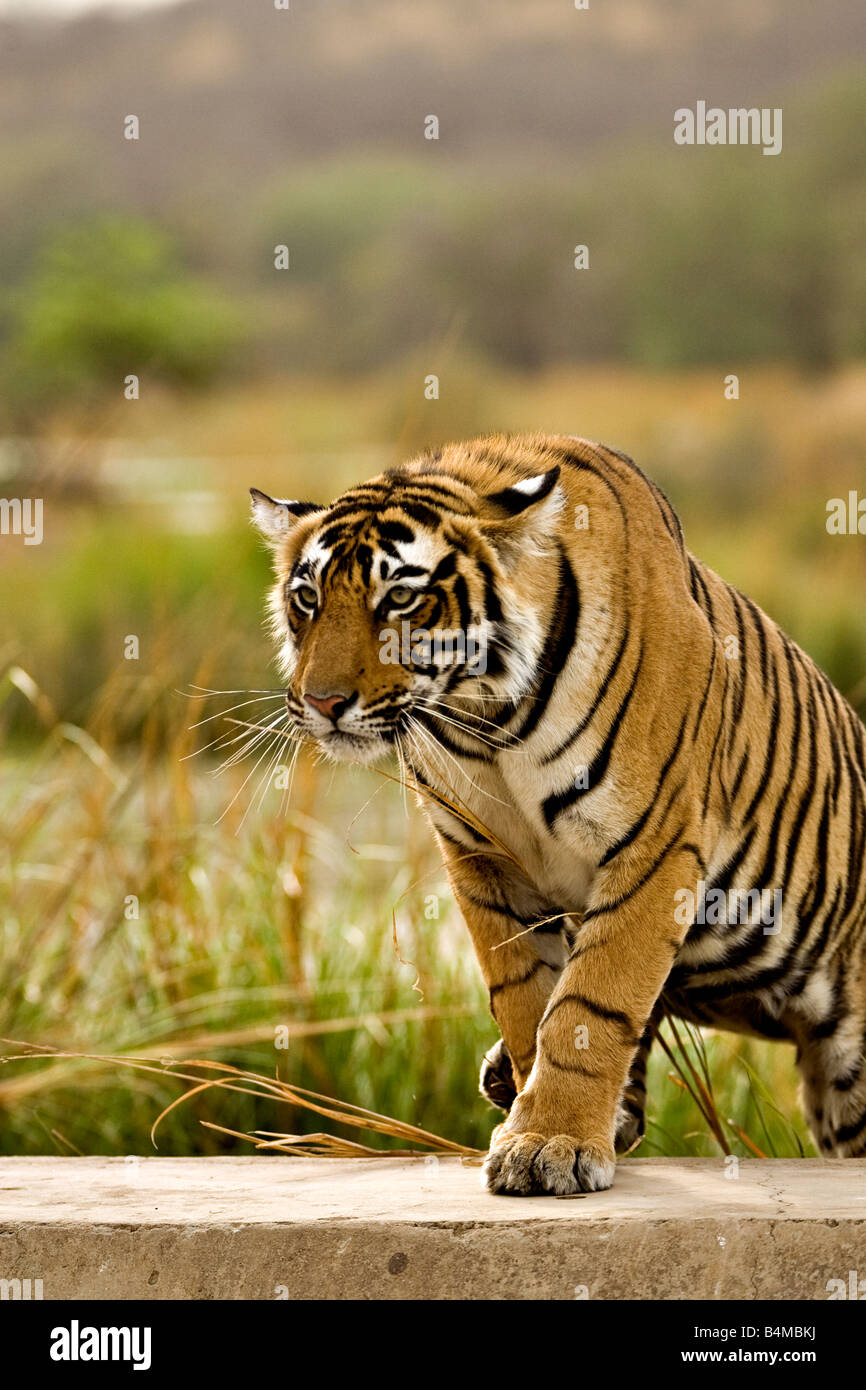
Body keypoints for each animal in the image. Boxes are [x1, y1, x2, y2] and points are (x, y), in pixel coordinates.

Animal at [250, 432, 866, 1196]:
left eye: (400, 598)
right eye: (307, 598)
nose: (323, 702)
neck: (486, 717)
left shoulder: (654, 847)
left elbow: (593, 1003)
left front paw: (553, 1142)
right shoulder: (482, 858)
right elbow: (526, 996)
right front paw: (535, 1116)